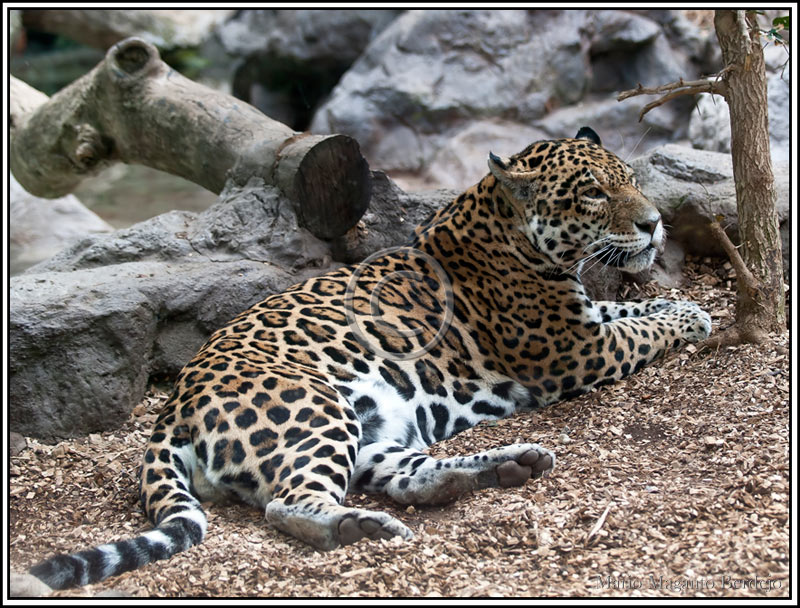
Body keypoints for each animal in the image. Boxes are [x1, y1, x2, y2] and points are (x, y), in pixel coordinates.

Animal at [26, 127, 711, 590]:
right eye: (592, 193)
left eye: (628, 178)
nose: (654, 224)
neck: (507, 230)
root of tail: (172, 409)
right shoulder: (575, 348)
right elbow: (641, 330)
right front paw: (691, 318)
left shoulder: (585, 319)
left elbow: (632, 309)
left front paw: (689, 305)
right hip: (314, 407)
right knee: (288, 503)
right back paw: (362, 527)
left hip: (370, 424)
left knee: (396, 474)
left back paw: (491, 471)